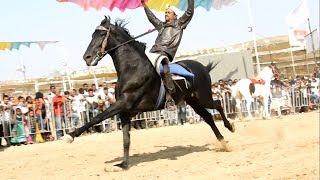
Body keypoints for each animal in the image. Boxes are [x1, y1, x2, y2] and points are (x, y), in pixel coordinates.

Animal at [65, 16, 235, 171]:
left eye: (101, 34)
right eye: (92, 35)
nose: (87, 57)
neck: (132, 69)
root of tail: (203, 67)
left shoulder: (123, 103)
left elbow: (97, 118)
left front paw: (71, 135)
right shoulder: (125, 111)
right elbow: (126, 138)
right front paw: (123, 164)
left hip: (203, 97)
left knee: (218, 104)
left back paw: (230, 127)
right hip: (193, 101)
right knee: (208, 117)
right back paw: (223, 142)